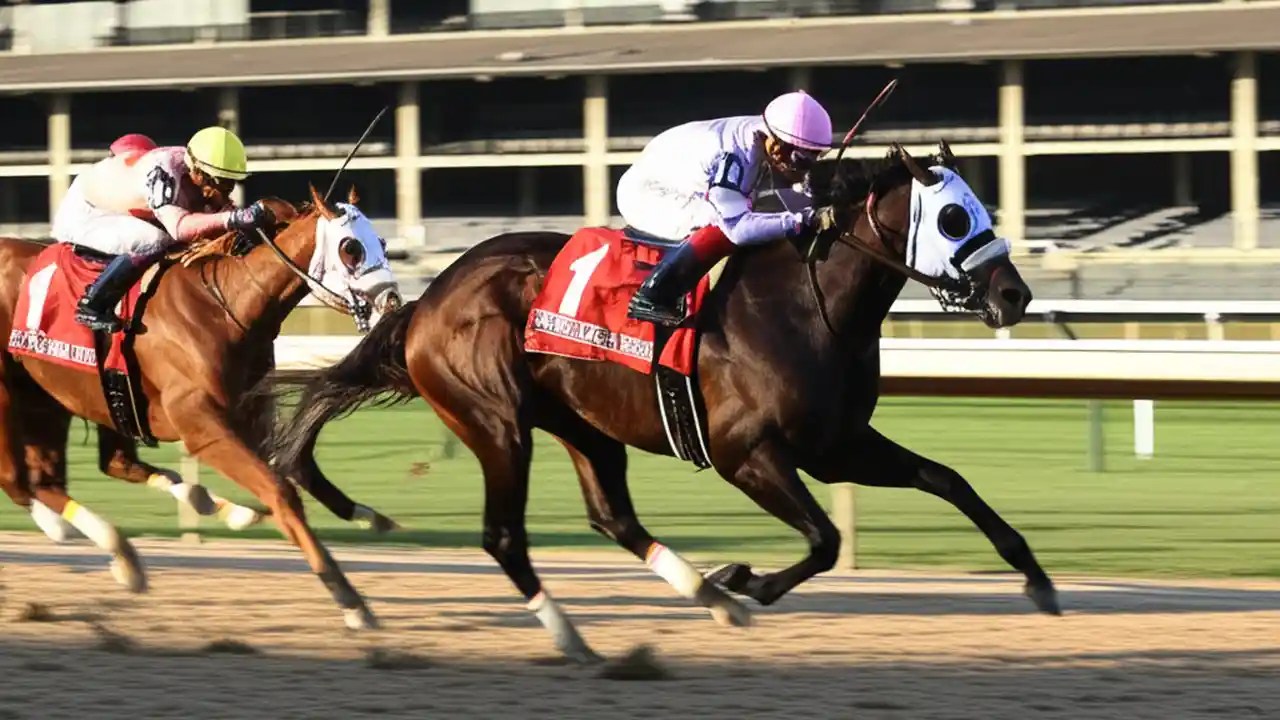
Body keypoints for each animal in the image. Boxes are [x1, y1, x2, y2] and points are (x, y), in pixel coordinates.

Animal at [0, 184, 402, 629]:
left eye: (382, 242)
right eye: (351, 248)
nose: (392, 301)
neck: (223, 308)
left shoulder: (249, 416)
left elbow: (298, 466)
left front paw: (369, 516)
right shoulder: (203, 427)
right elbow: (280, 491)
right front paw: (350, 600)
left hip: (58, 396)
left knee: (71, 476)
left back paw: (137, 546)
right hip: (15, 393)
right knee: (18, 480)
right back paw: (101, 541)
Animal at [267, 142, 1059, 660]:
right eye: (954, 218)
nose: (1013, 295)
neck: (807, 307)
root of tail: (429, 298)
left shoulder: (835, 446)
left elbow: (947, 479)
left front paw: (1038, 580)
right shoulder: (748, 454)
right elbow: (826, 541)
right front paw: (749, 579)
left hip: (584, 422)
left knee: (612, 516)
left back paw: (707, 599)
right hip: (495, 421)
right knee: (504, 536)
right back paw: (577, 638)